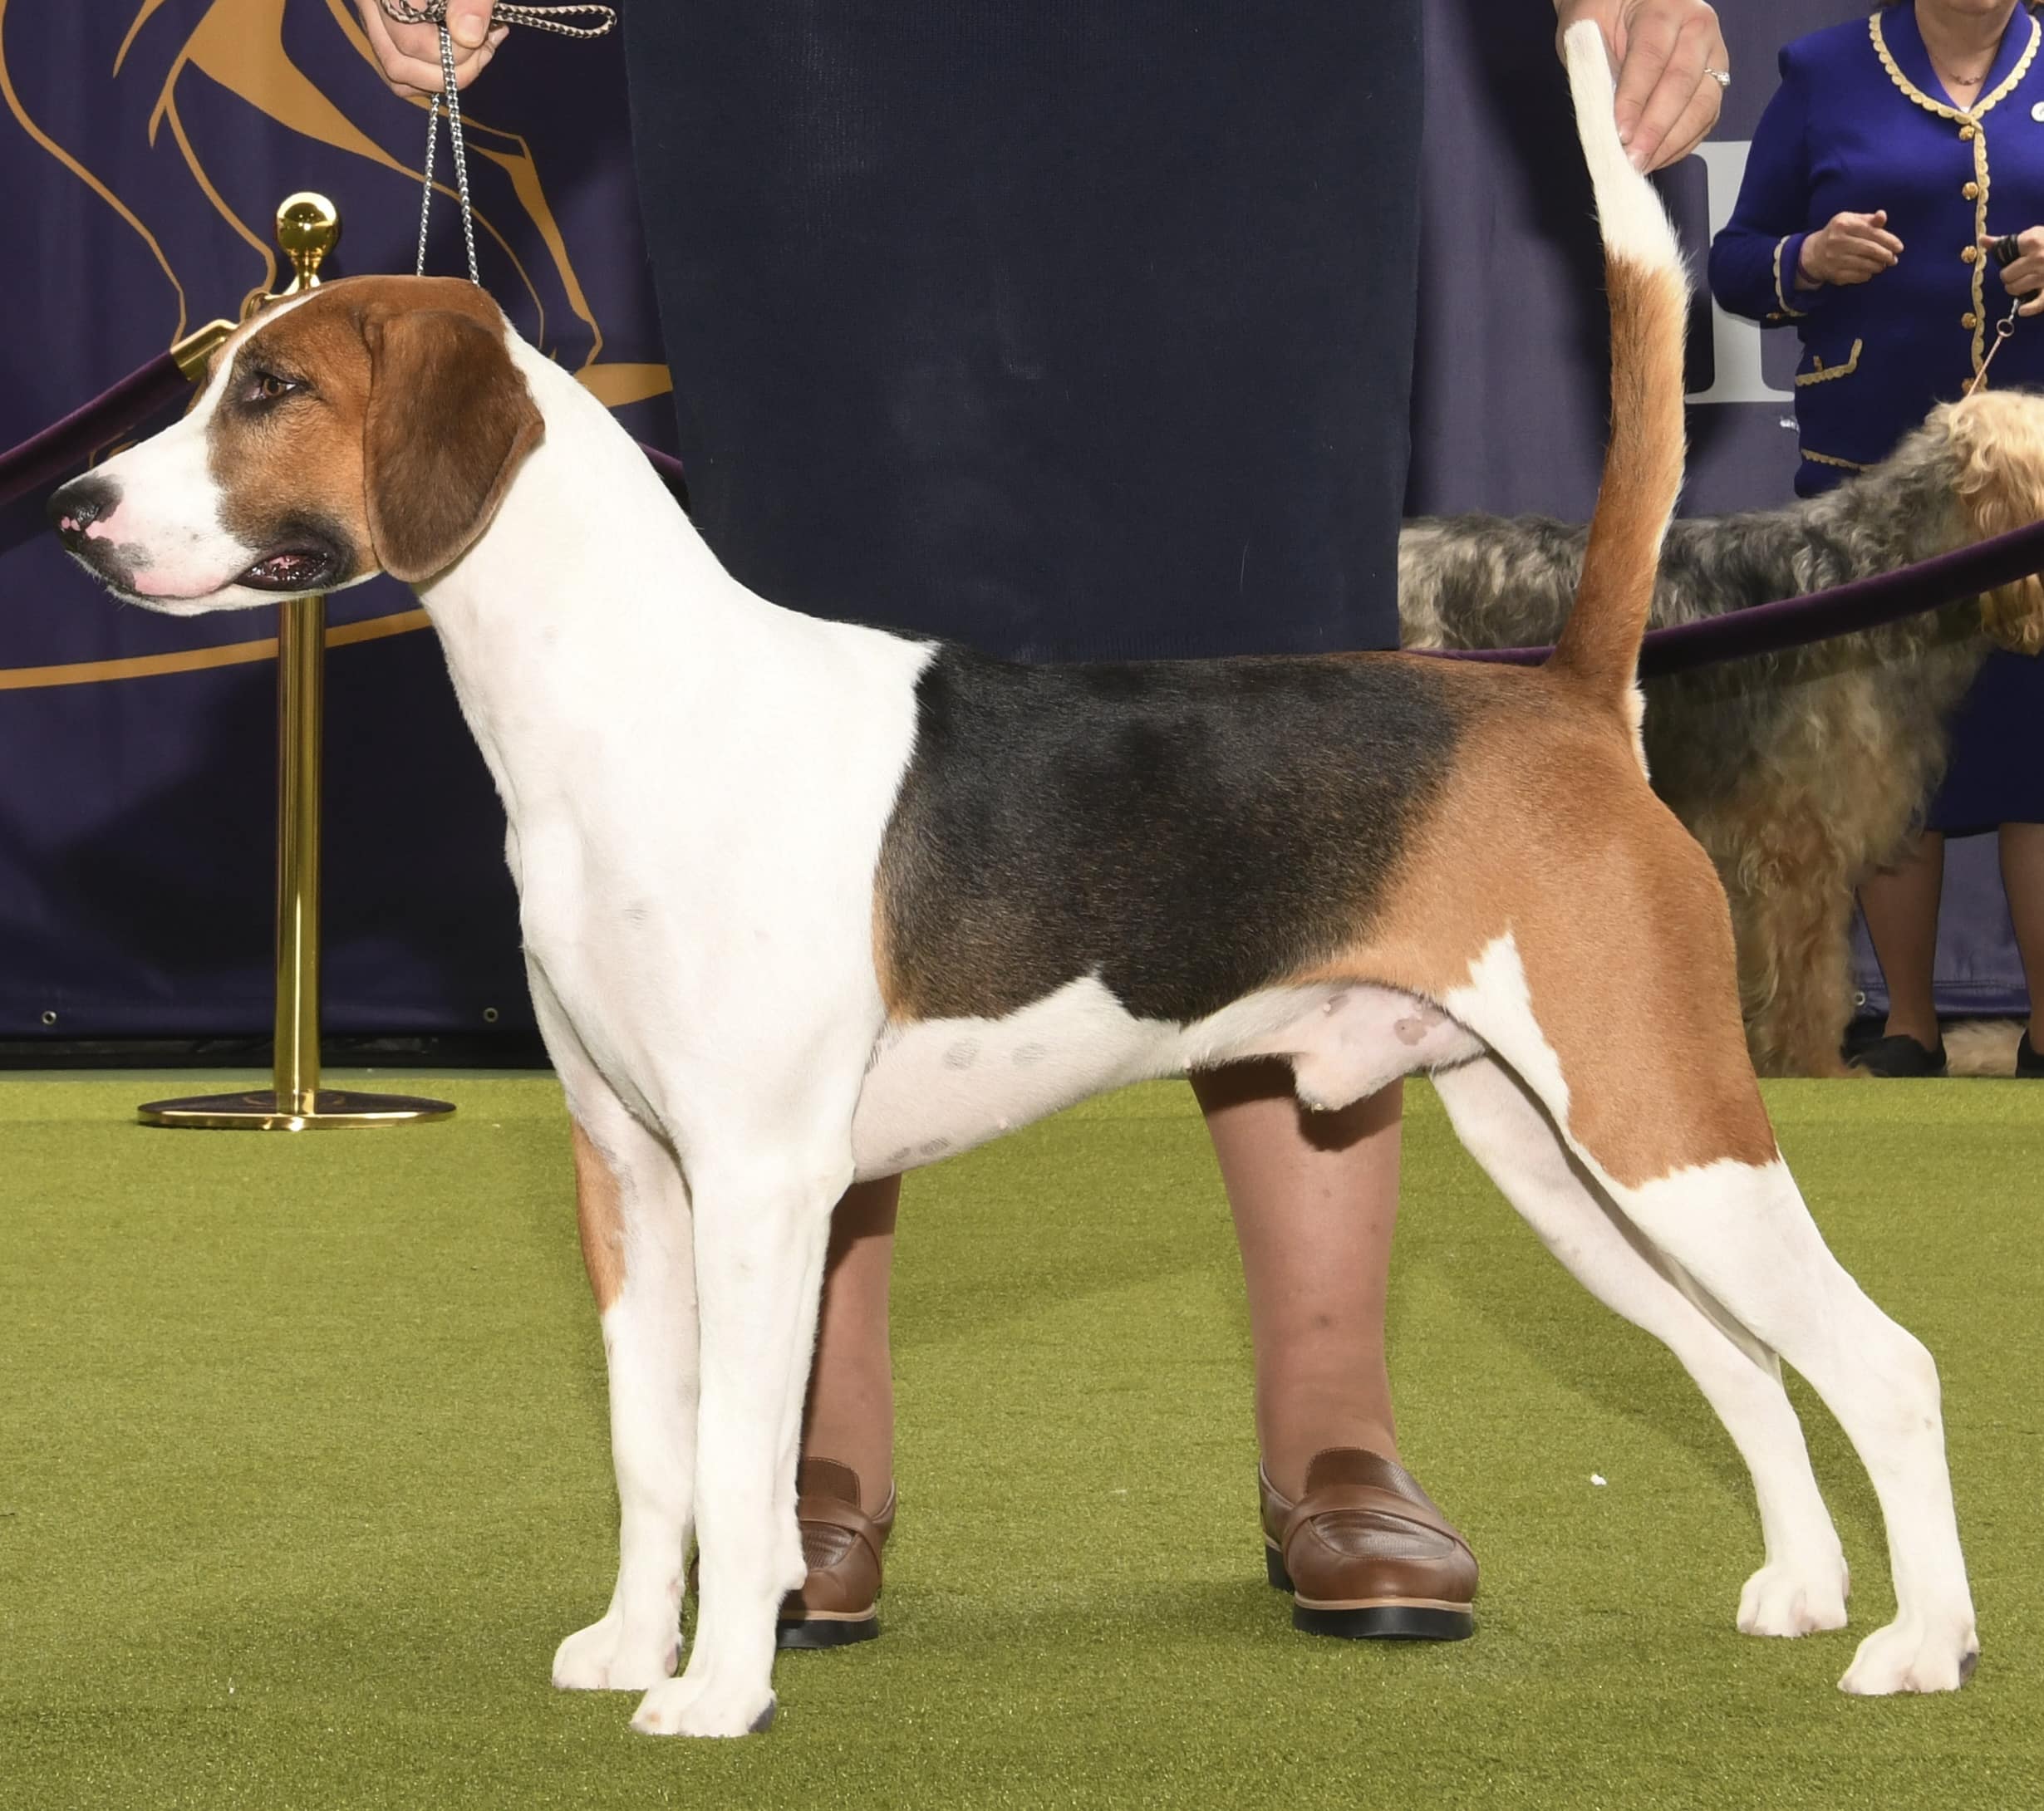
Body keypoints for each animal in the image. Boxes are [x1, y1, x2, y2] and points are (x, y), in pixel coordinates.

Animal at [48, 28, 1976, 1733]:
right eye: (209, 368)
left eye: (277, 392)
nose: (70, 513)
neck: (626, 695)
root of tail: (1566, 689)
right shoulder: (630, 1176)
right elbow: (650, 1452)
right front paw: (628, 1647)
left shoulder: (760, 1183)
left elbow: (738, 1461)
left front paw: (714, 1693)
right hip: (1565, 1155)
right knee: (1743, 1358)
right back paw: (1805, 1590)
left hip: (1663, 1121)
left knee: (1880, 1362)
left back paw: (1919, 1647)